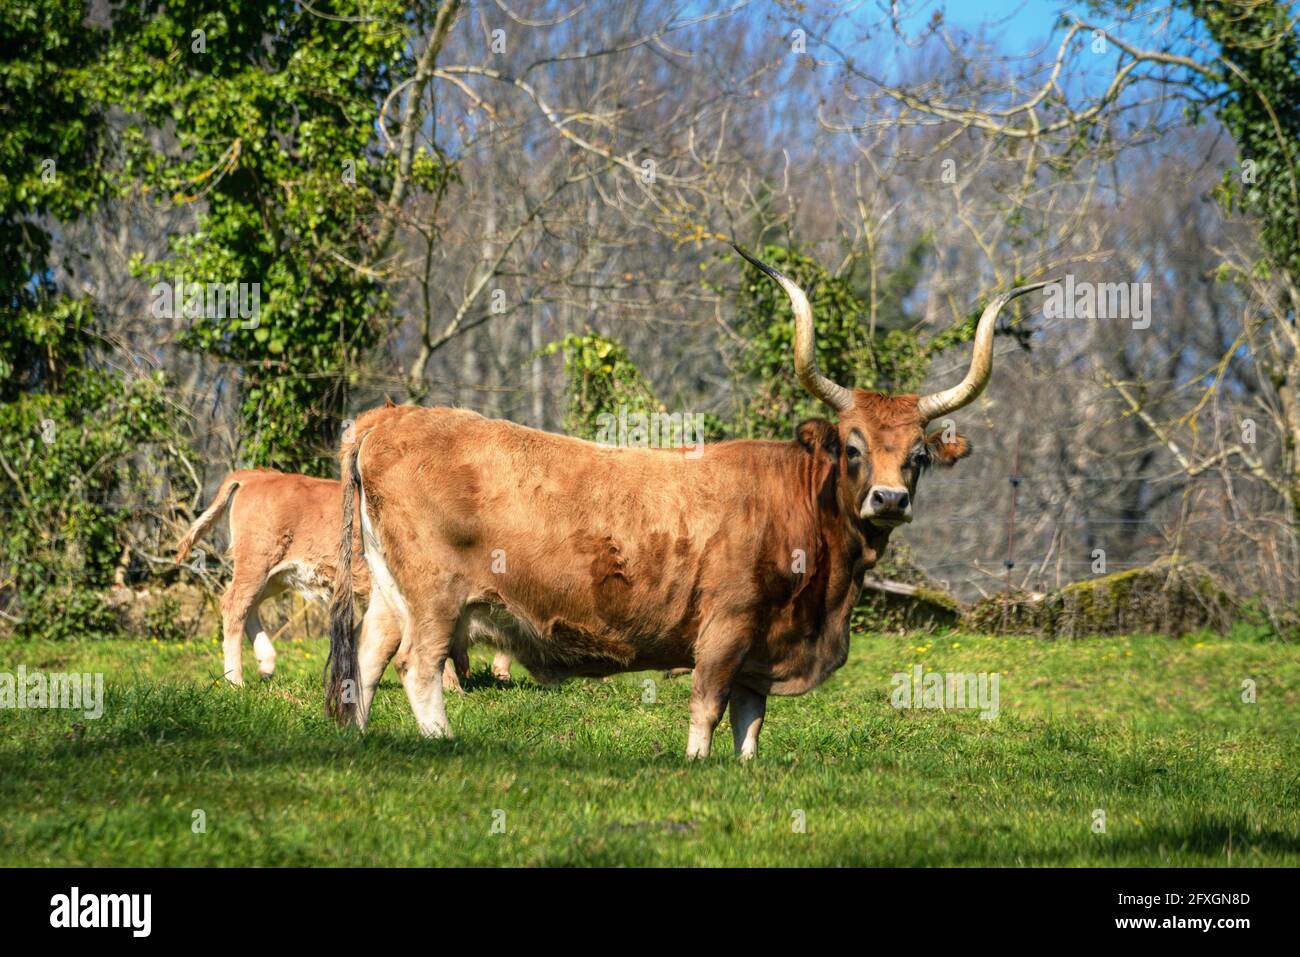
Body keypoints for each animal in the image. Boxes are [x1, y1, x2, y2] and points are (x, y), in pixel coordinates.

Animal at [177, 468, 513, 687]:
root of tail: (255, 475)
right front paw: (453, 685)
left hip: (276, 575)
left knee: (248, 607)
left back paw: (266, 663)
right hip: (256, 563)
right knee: (234, 605)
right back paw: (236, 679)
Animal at [324, 246, 1048, 758]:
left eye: (919, 456)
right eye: (853, 446)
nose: (890, 497)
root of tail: (388, 416)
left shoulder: (762, 652)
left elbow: (750, 721)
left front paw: (744, 769)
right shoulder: (726, 628)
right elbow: (707, 706)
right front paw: (697, 763)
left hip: (389, 590)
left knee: (368, 657)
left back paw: (360, 739)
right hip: (435, 596)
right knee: (417, 666)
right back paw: (444, 744)